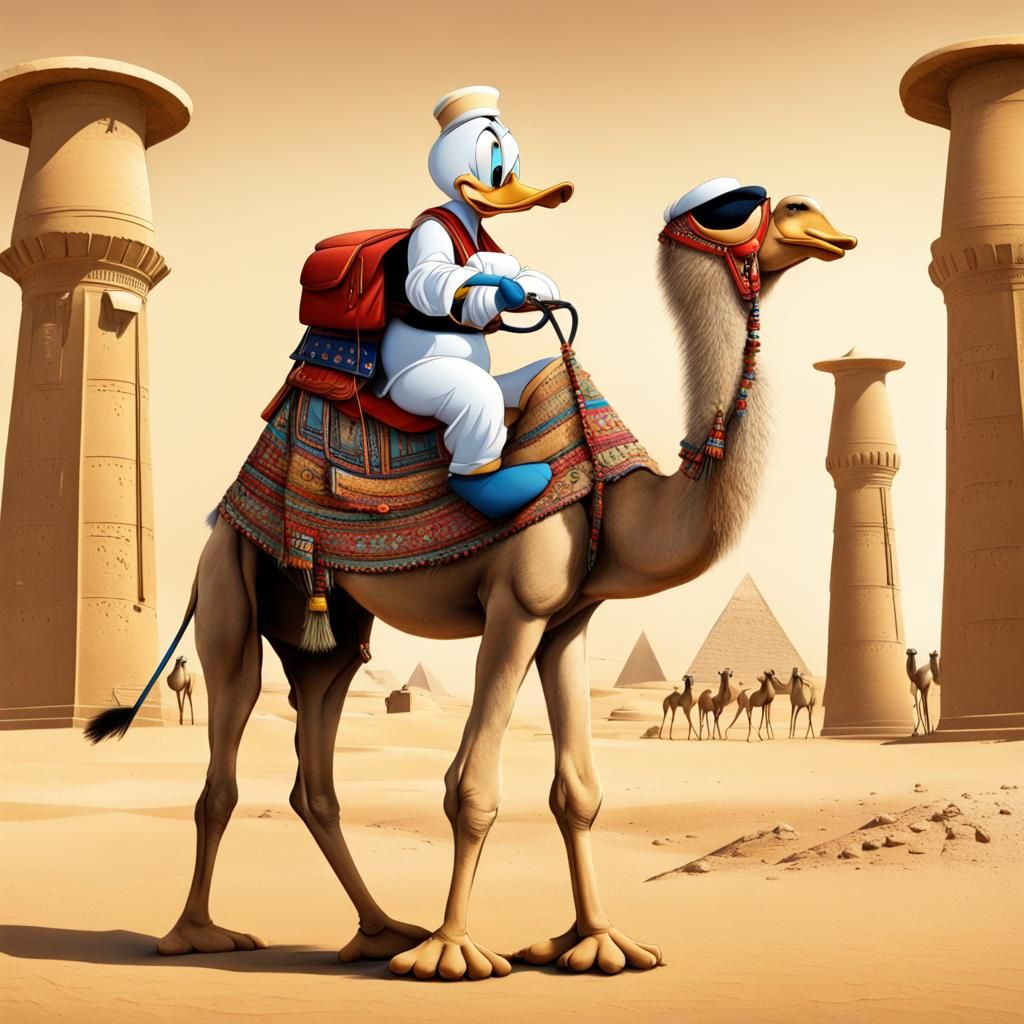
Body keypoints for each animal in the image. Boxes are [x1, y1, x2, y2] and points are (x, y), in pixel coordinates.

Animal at [87, 193, 854, 979]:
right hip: (230, 581)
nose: (827, 228)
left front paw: (597, 944)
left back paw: (379, 931)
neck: (623, 500)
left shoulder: (566, 624)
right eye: (734, 210)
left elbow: (577, 791)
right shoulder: (516, 609)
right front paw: (452, 953)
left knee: (316, 775)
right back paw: (198, 934)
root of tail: (228, 504)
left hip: (327, 636)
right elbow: (471, 788)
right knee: (223, 758)